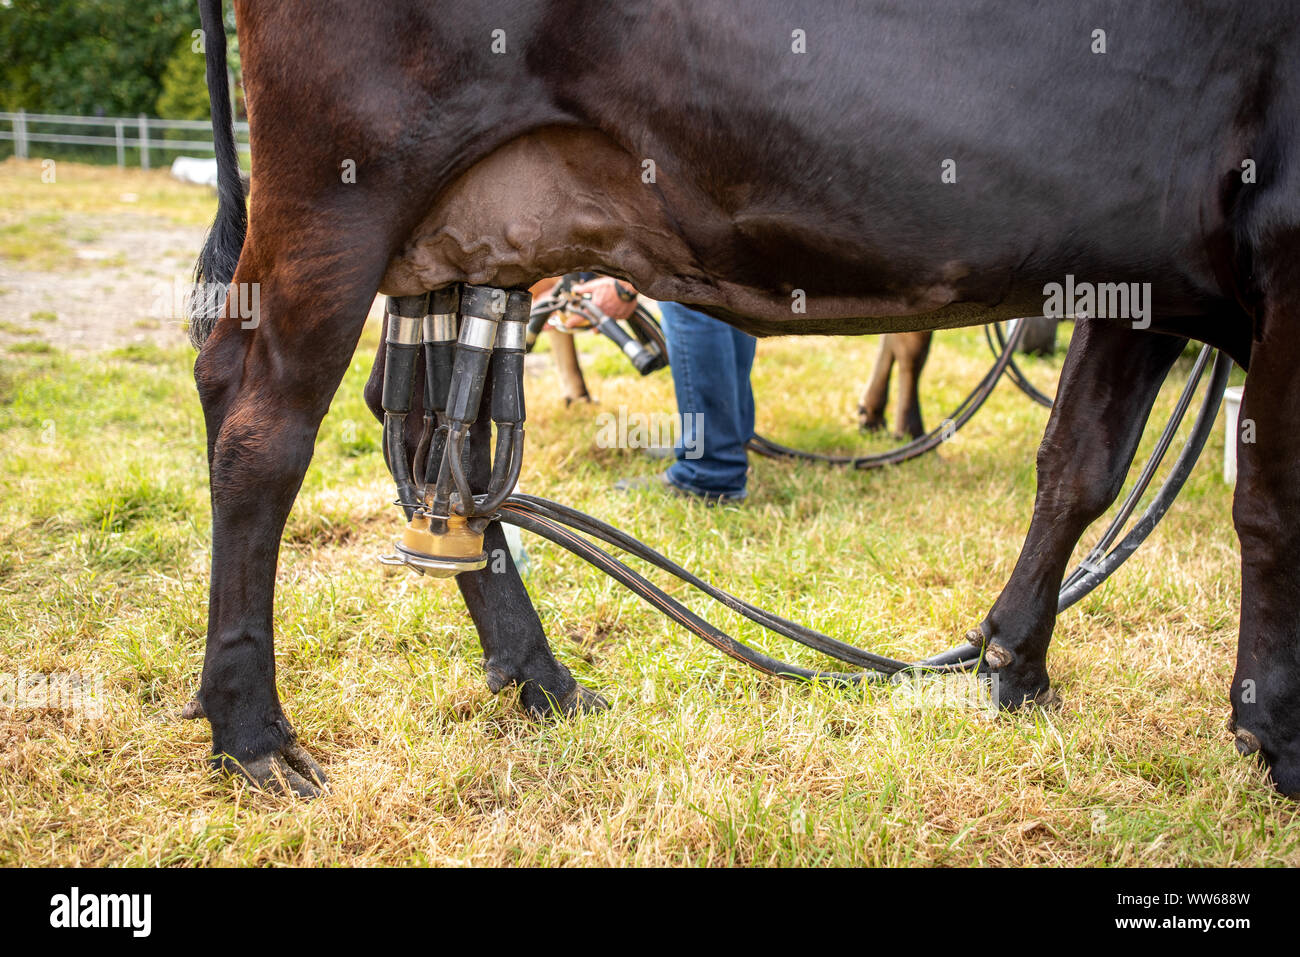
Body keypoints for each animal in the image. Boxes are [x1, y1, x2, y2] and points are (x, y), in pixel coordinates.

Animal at [187, 0, 1294, 799]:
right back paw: (254, 733)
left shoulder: (1136, 282)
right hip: (343, 184)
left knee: (407, 426)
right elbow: (1270, 510)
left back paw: (539, 675)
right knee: (258, 422)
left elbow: (1079, 468)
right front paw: (1274, 734)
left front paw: (1013, 667)